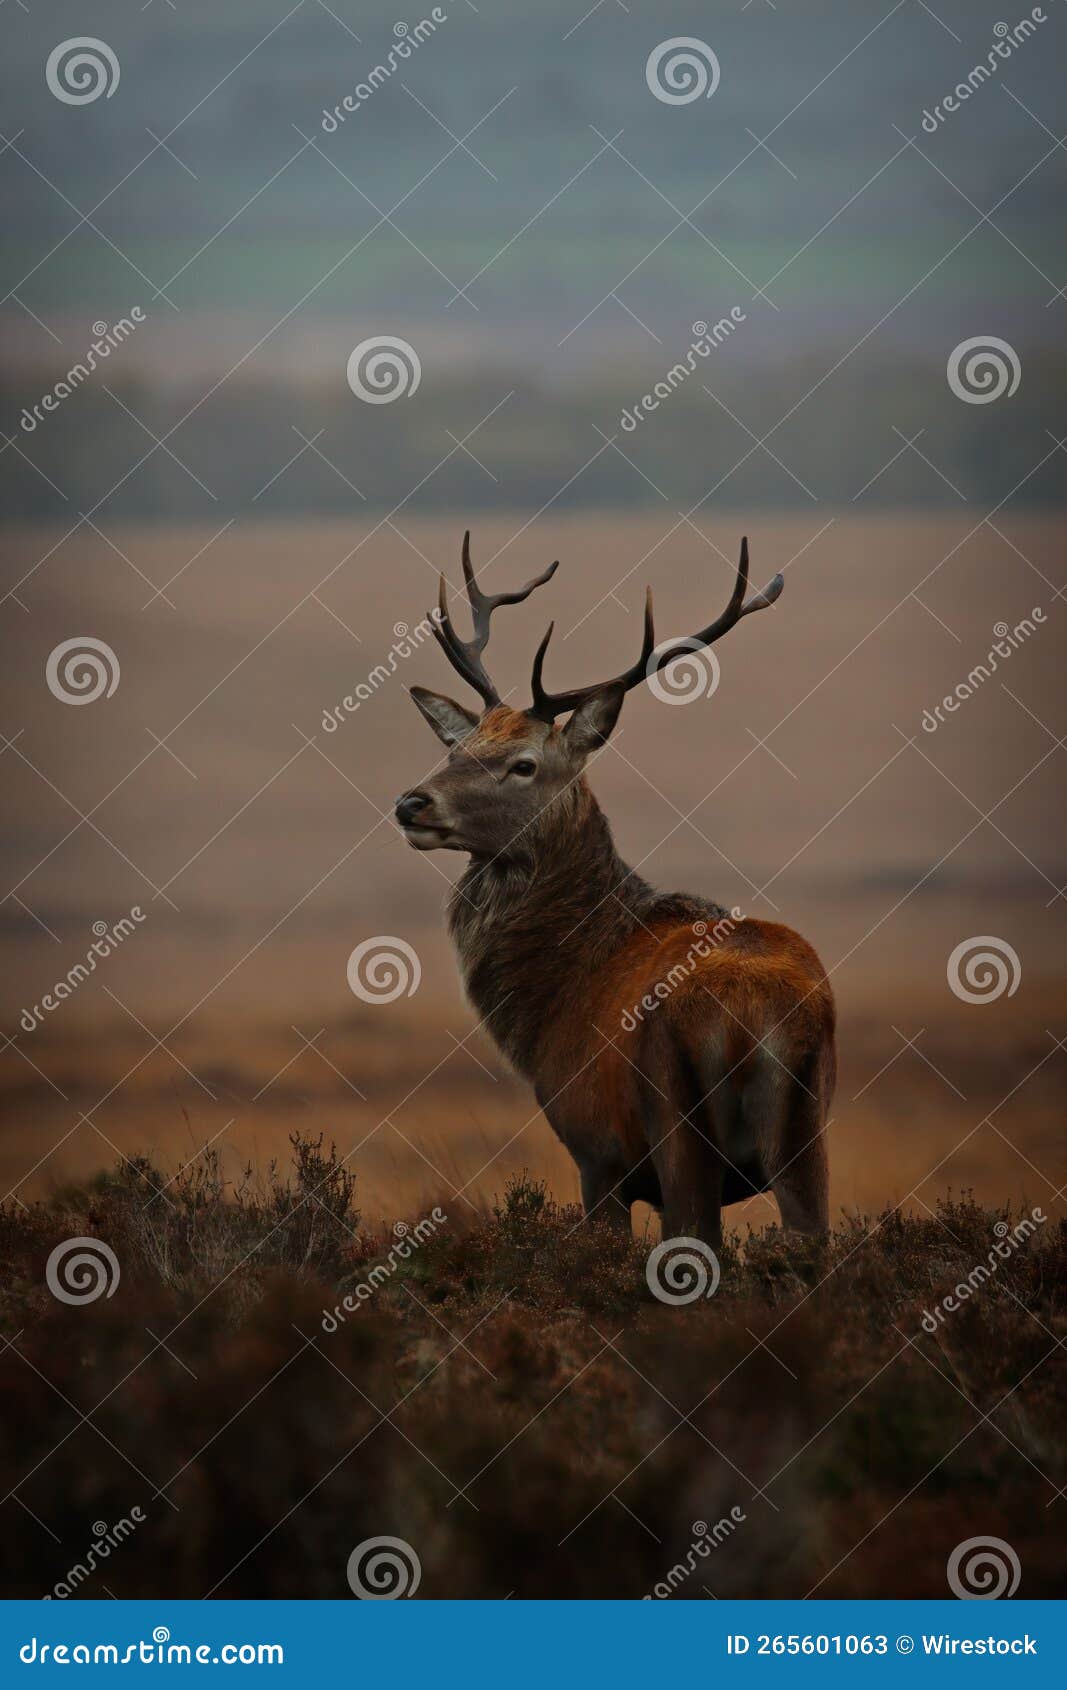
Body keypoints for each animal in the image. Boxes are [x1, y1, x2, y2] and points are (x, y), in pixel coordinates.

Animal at [394, 532, 835, 1248]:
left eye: (524, 764)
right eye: (458, 751)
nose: (411, 804)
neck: (555, 998)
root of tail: (759, 1019)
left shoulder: (596, 1151)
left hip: (679, 1132)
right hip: (806, 1133)